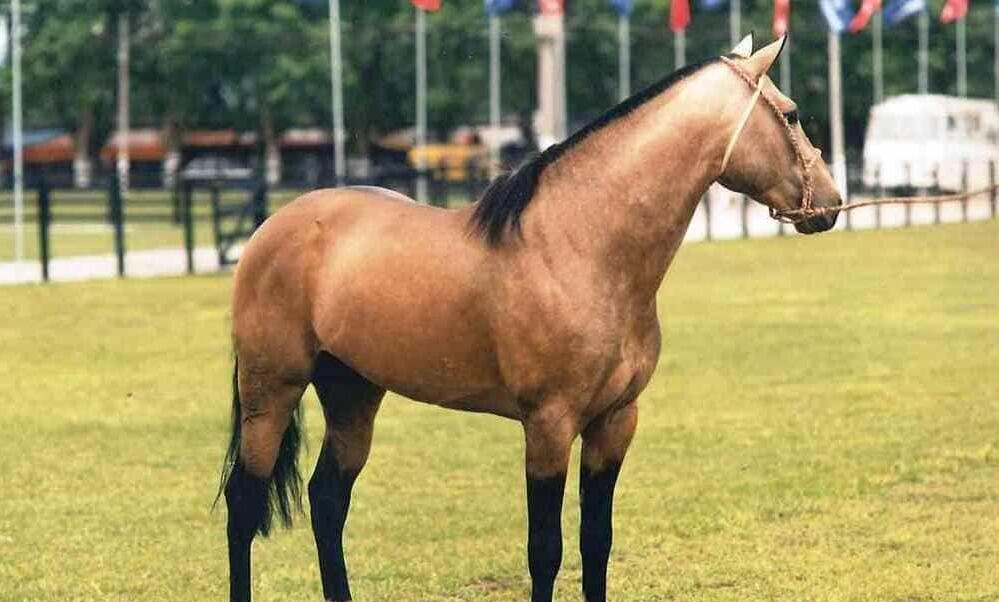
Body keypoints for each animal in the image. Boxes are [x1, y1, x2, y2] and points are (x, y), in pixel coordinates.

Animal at [218, 34, 841, 602]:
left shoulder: (615, 421)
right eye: (791, 113)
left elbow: (596, 541)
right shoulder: (548, 425)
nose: (832, 204)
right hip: (271, 391)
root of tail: (272, 228)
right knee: (243, 508)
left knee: (327, 502)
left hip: (352, 393)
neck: (580, 246)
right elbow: (546, 551)